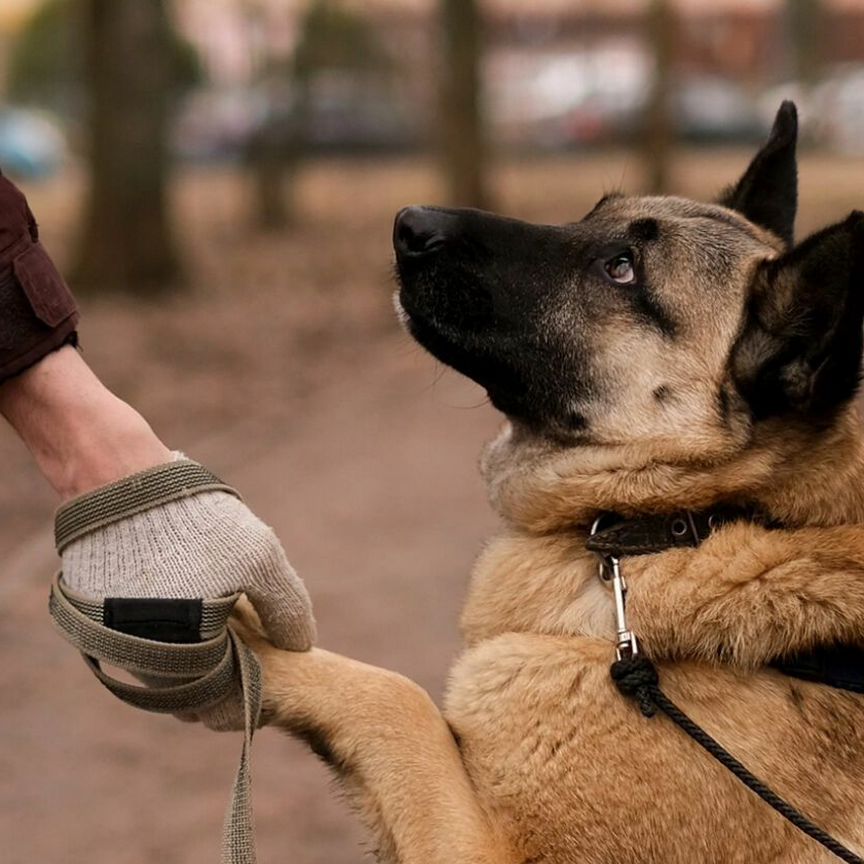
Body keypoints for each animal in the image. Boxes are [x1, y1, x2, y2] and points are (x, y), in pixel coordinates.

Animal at [230, 106, 864, 864]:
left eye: (622, 269)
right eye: (591, 215)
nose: (409, 223)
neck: (694, 517)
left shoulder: (493, 849)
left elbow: (395, 698)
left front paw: (241, 642)